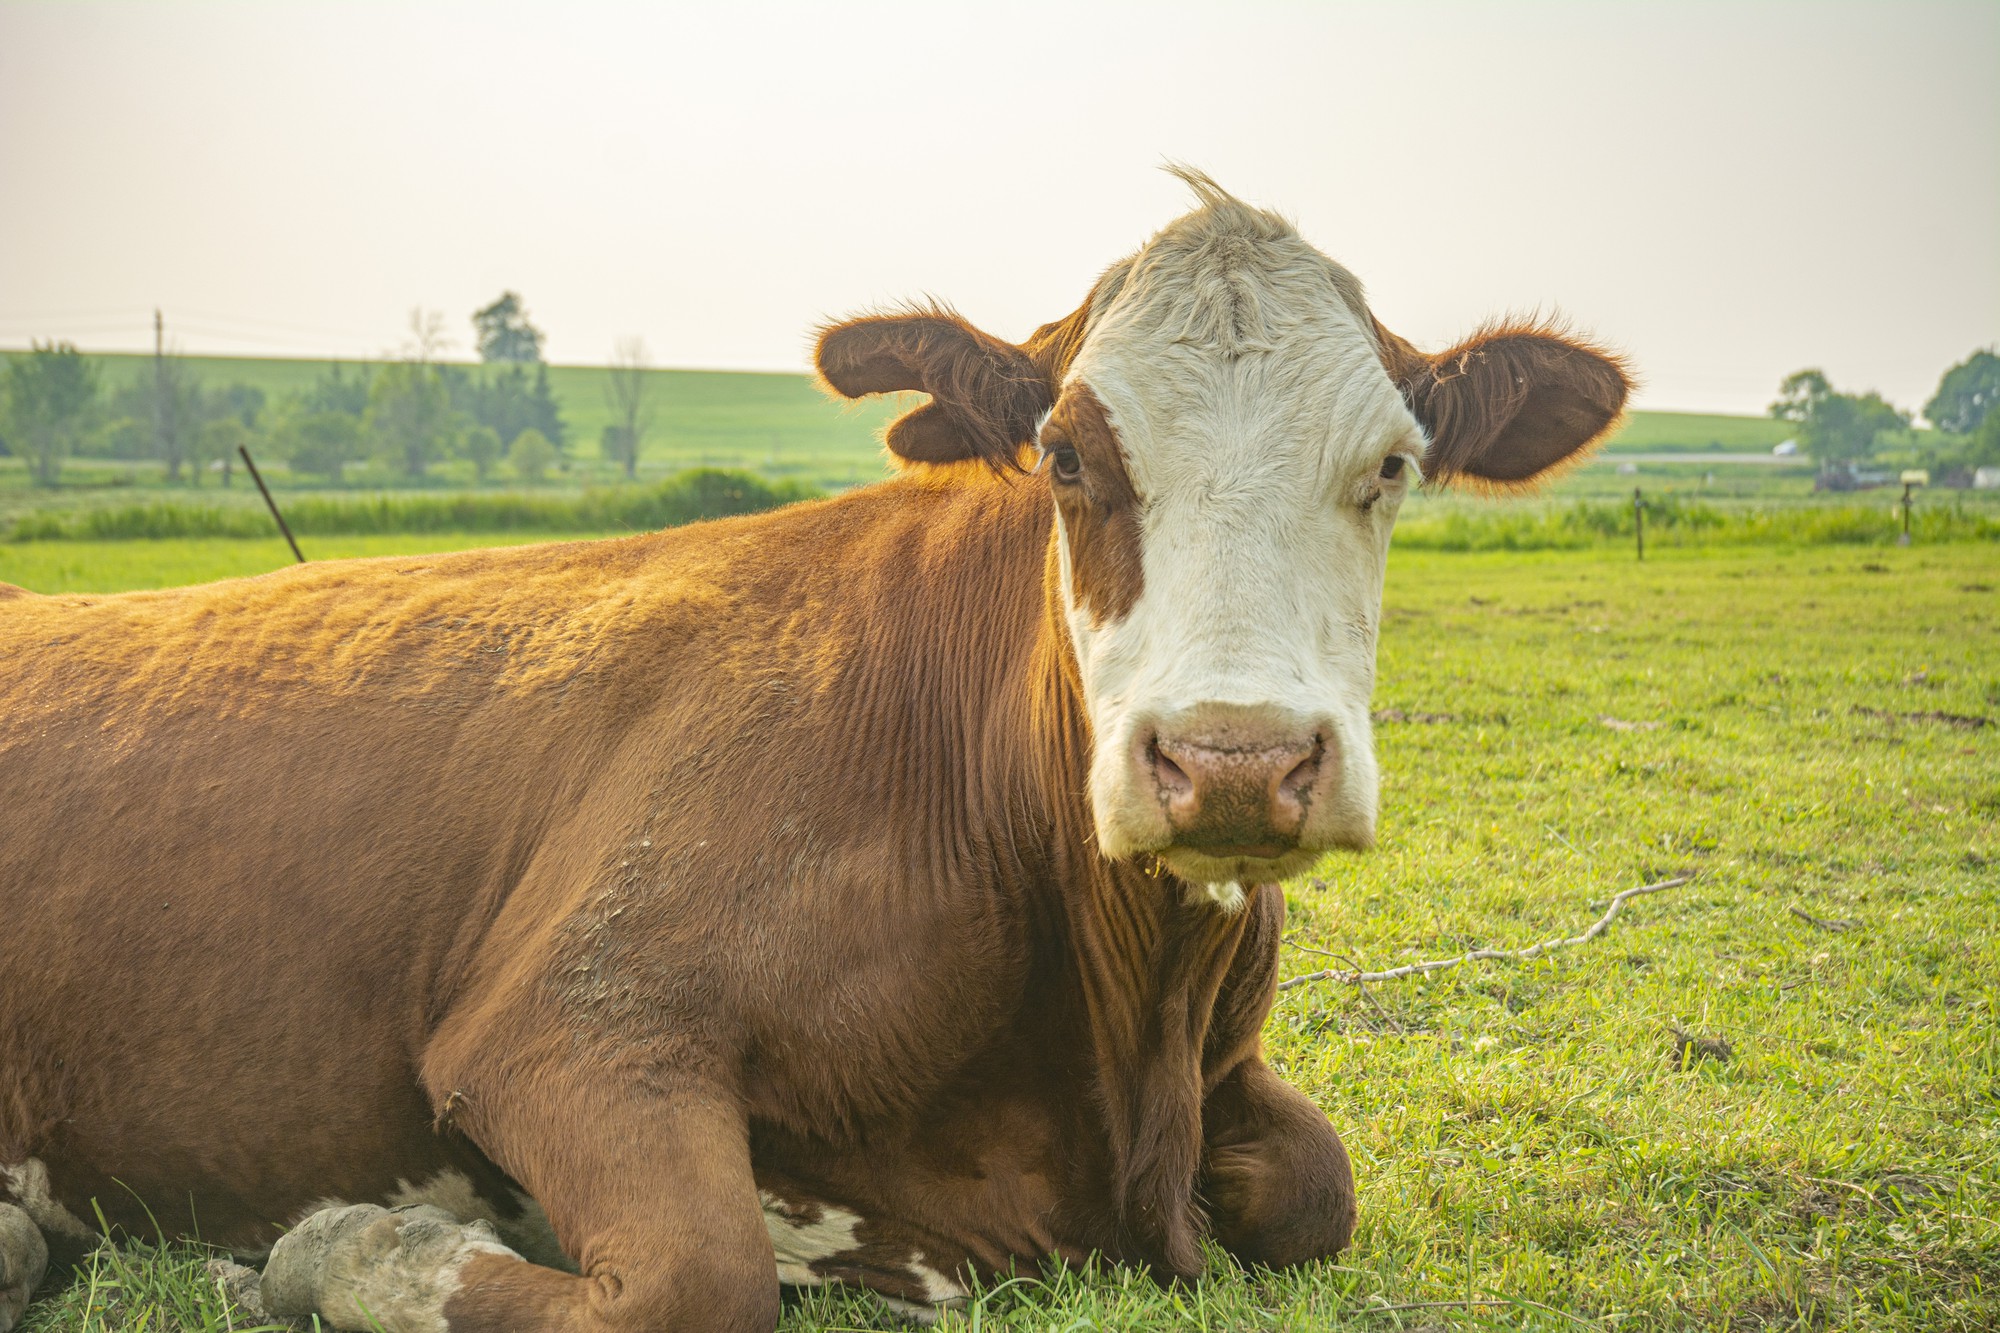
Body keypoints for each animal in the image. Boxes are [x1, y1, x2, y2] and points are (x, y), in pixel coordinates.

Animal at [0, 171, 1628, 1333]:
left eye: (1393, 464)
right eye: (1066, 456)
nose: (1232, 760)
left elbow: (1313, 1188)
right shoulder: (570, 1015)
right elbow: (695, 1277)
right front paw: (343, 1243)